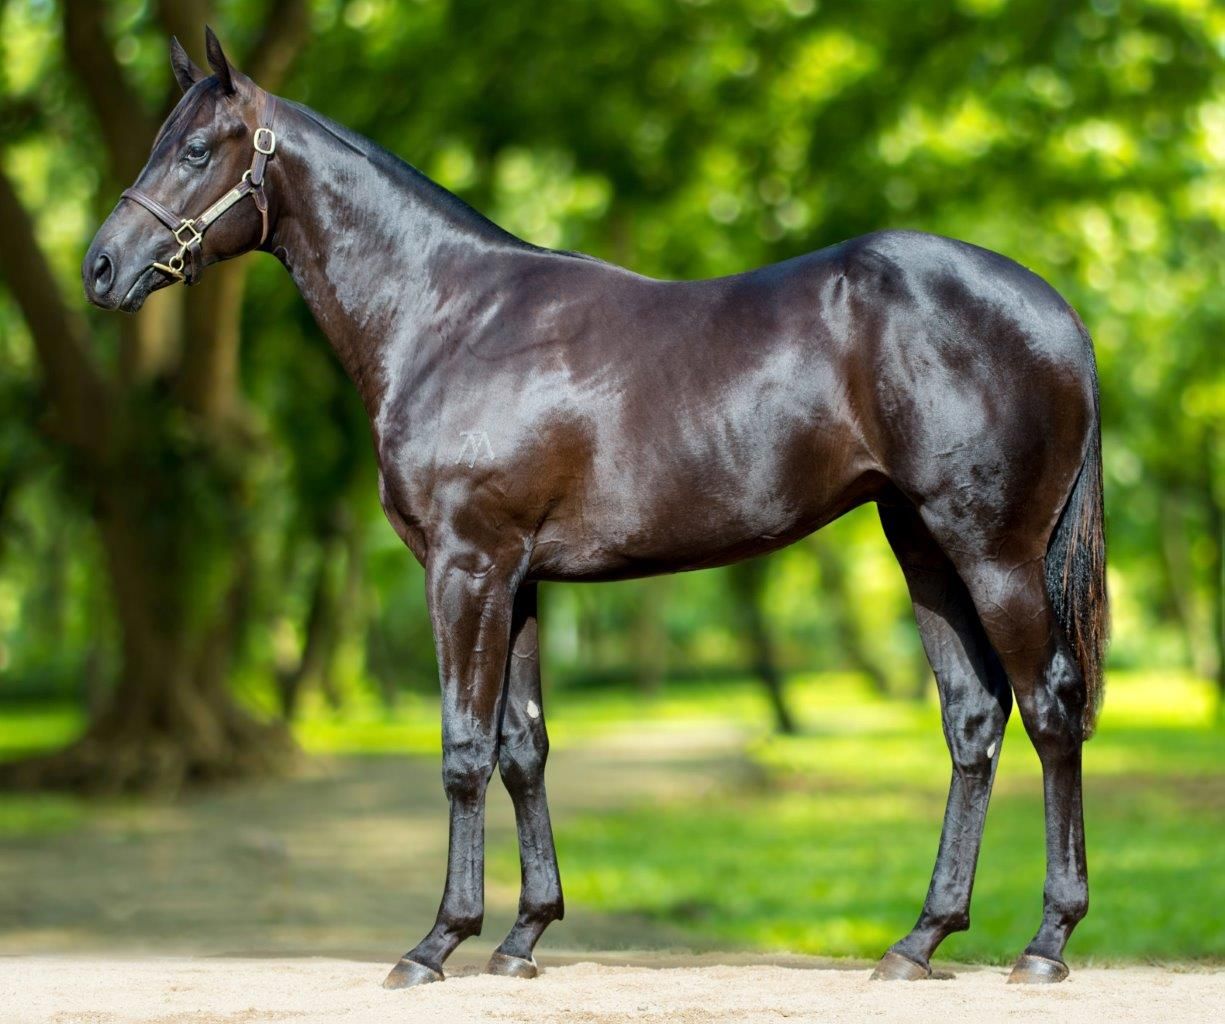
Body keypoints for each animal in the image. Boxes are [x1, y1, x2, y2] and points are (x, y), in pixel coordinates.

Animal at [83, 30, 1107, 989]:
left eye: (196, 149)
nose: (101, 267)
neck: (448, 316)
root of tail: (1053, 309)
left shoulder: (466, 567)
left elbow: (463, 748)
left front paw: (436, 943)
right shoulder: (519, 579)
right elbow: (522, 747)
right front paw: (522, 938)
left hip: (992, 555)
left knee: (1050, 707)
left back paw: (1045, 944)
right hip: (925, 552)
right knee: (972, 720)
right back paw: (918, 941)